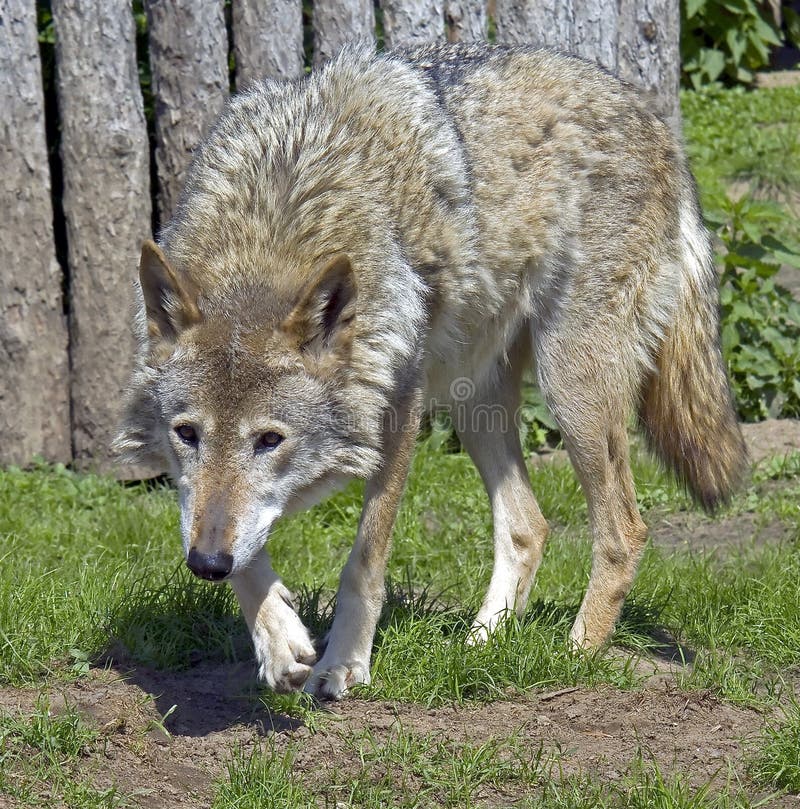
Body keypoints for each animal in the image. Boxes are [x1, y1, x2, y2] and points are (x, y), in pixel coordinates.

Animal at [114, 42, 747, 700]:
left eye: (270, 440)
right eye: (187, 434)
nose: (204, 566)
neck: (276, 222)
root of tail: (656, 123)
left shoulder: (399, 408)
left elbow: (363, 560)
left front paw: (343, 663)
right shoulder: (201, 496)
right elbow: (239, 546)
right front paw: (279, 639)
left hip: (570, 388)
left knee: (624, 532)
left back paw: (574, 657)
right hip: (475, 401)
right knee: (529, 526)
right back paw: (482, 649)